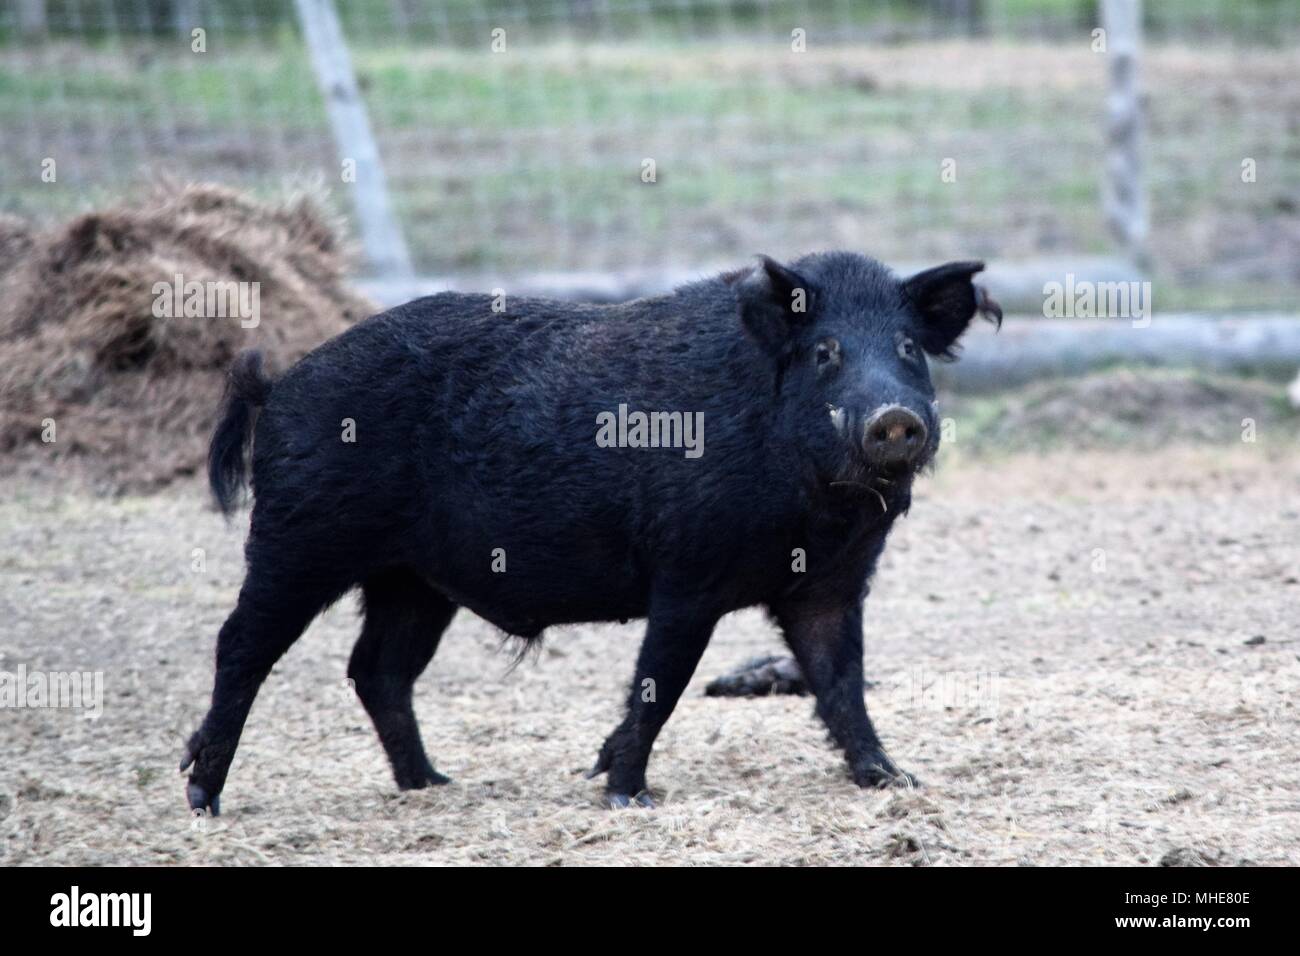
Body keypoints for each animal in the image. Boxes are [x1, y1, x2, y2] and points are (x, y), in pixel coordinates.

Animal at [182, 251, 1000, 814]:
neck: (817, 512)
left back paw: (435, 785)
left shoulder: (831, 585)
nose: (894, 418)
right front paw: (627, 793)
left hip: (412, 579)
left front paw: (895, 780)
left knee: (376, 669)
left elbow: (841, 683)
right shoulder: (686, 576)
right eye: (826, 353)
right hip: (298, 539)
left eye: (908, 350)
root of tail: (277, 388)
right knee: (241, 646)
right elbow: (660, 682)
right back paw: (204, 798)